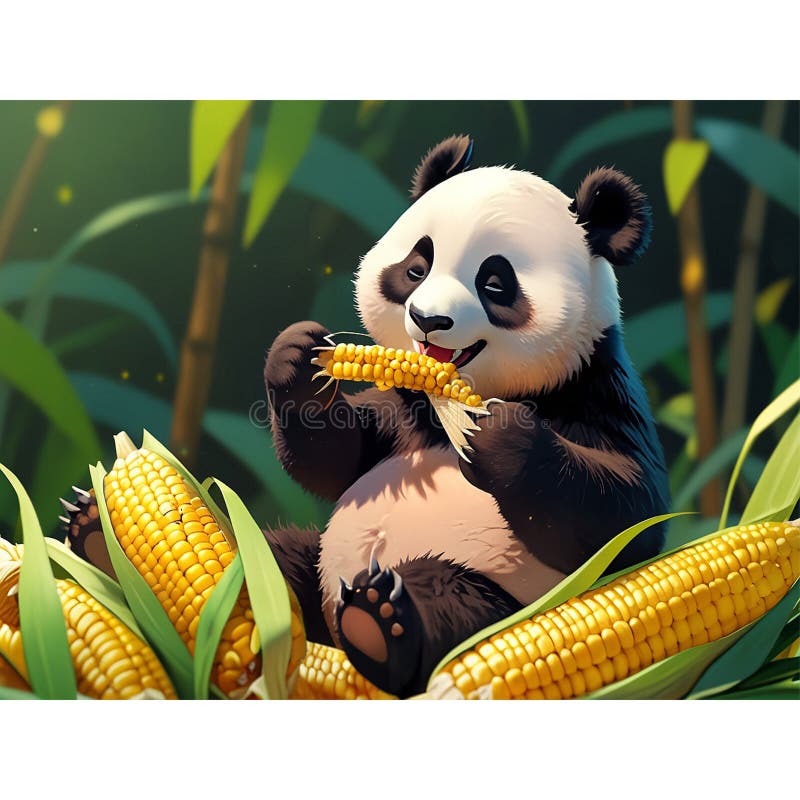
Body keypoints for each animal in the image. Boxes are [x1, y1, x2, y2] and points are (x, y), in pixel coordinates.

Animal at [262, 135, 670, 698]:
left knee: (448, 601)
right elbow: (338, 458)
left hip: (505, 598)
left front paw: (498, 434)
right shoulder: (403, 408)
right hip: (319, 561)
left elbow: (626, 511)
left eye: (495, 284)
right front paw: (298, 356)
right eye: (416, 268)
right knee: (271, 553)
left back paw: (376, 623)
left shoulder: (598, 389)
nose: (427, 320)